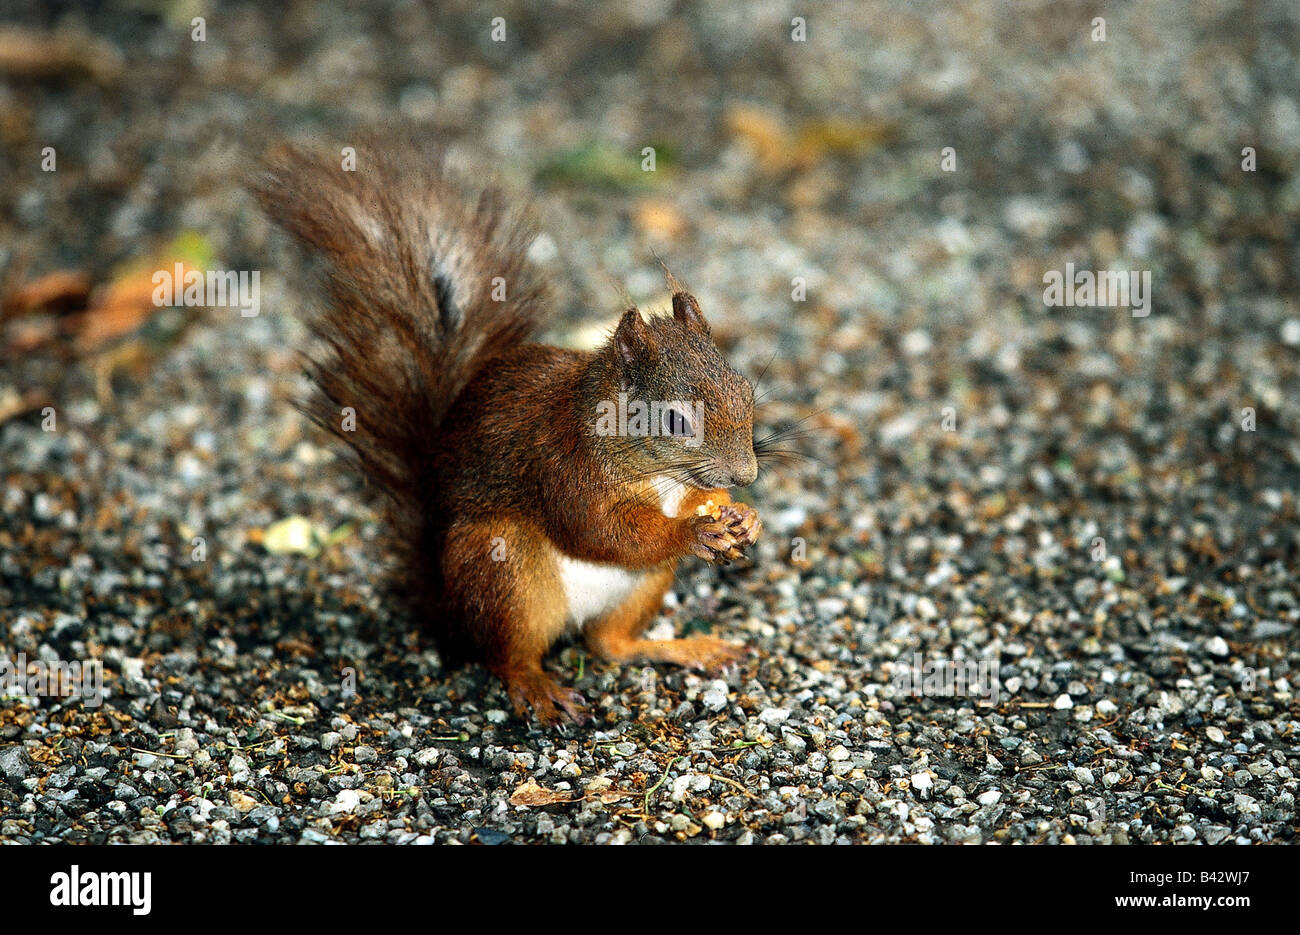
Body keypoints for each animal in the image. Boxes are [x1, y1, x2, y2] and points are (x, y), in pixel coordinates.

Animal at [251, 140, 762, 725]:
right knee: (508, 657)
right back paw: (537, 687)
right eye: (677, 420)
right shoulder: (562, 470)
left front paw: (740, 516)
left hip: (645, 583)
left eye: (747, 392)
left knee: (609, 645)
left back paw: (688, 647)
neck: (657, 475)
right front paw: (695, 532)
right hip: (505, 570)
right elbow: (603, 532)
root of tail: (448, 608)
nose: (747, 475)